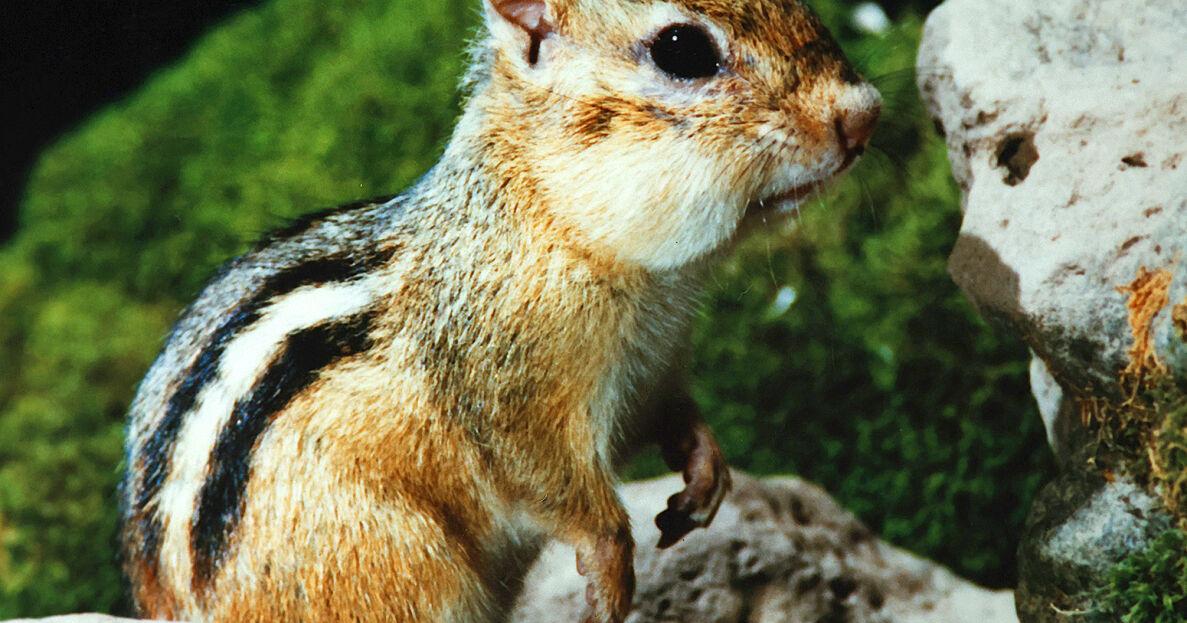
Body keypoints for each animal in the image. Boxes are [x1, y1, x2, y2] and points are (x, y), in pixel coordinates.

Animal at [119, 0, 880, 621]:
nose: (864, 112)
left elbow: (672, 420)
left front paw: (705, 471)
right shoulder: (511, 402)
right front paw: (611, 569)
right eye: (681, 49)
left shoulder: (652, 372)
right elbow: (557, 490)